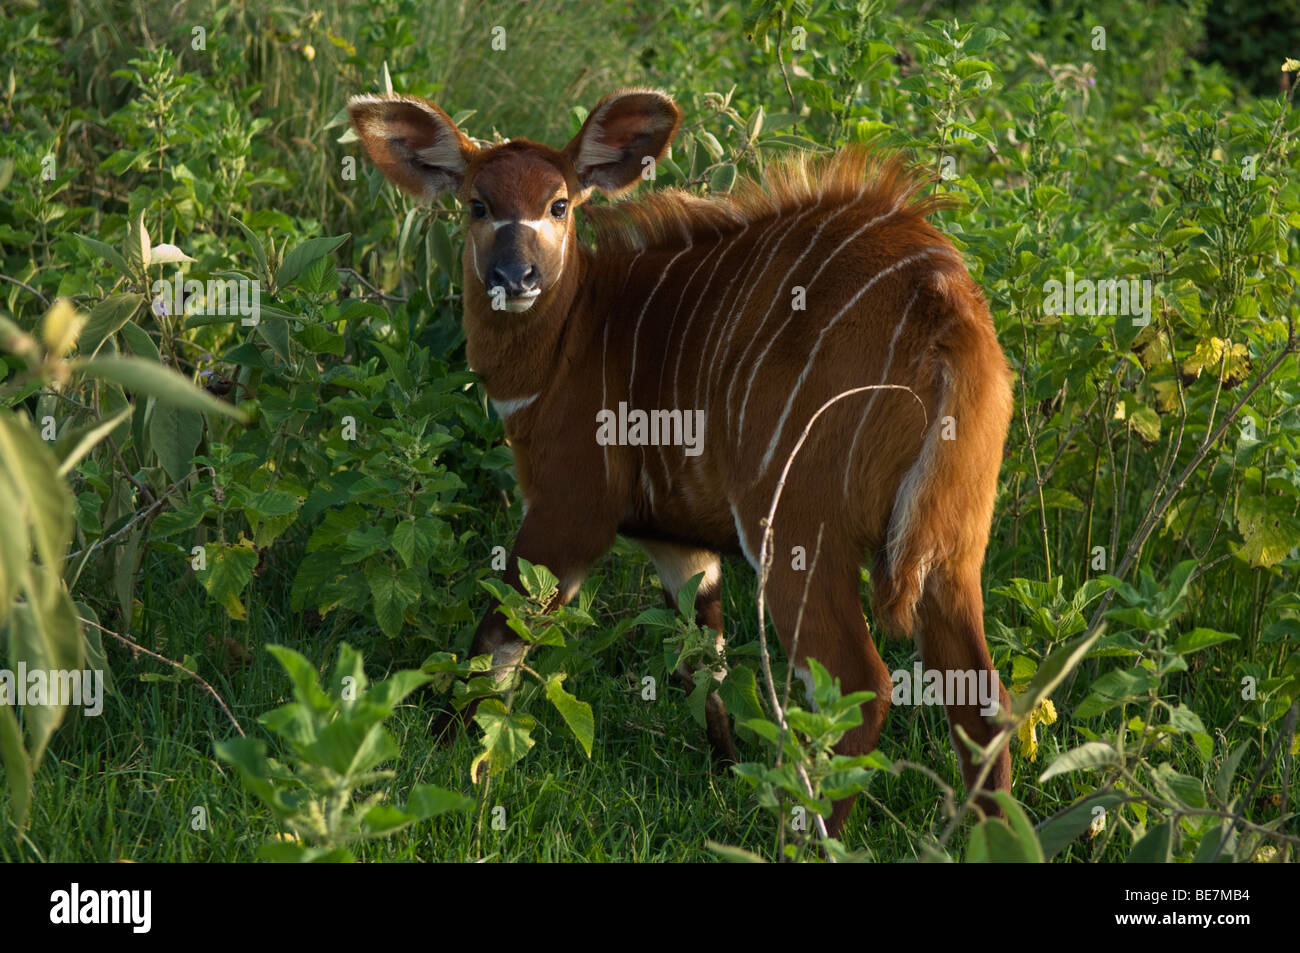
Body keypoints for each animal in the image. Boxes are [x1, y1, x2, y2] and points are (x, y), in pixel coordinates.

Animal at [348, 88, 1014, 835]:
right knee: (982, 702)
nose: (514, 277)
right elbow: (705, 668)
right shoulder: (681, 546)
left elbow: (501, 630)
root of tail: (944, 303)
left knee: (861, 684)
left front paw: (443, 755)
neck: (574, 338)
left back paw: (810, 835)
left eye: (559, 203)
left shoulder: (572, 509)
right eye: (477, 205)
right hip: (953, 546)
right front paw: (726, 782)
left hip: (794, 531)